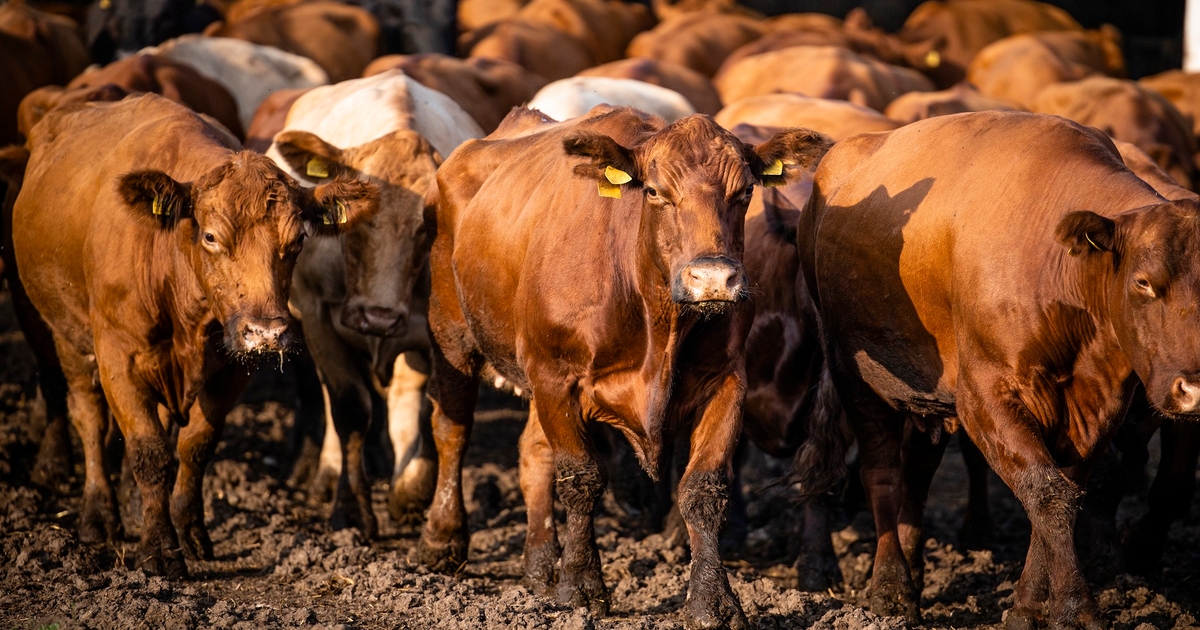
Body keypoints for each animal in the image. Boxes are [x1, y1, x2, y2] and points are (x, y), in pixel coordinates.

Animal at [8, 94, 378, 576]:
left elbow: (193, 447)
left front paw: (188, 531)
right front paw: (160, 549)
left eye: (297, 240)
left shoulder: (234, 368)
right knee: (87, 416)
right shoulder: (118, 358)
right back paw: (98, 513)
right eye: (211, 236)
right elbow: (148, 452)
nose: (267, 331)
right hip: (64, 335)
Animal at [265, 71, 483, 536]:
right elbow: (349, 408)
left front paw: (412, 490)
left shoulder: (432, 331)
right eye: (351, 215)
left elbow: (427, 407)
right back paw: (329, 473)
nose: (377, 317)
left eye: (426, 226)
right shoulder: (317, 317)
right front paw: (350, 507)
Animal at [422, 105, 829, 627]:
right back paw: (442, 539)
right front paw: (580, 587)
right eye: (654, 191)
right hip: (451, 333)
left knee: (533, 453)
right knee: (452, 430)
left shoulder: (726, 383)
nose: (713, 278)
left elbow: (703, 490)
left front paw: (712, 601)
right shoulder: (556, 377)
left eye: (744, 193)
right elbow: (581, 479)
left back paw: (539, 570)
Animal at [796, 110, 1200, 626]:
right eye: (1143, 282)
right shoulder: (985, 398)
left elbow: (1059, 497)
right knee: (881, 473)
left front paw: (1027, 607)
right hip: (856, 377)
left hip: (929, 398)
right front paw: (1075, 609)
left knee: (917, 473)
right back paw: (891, 587)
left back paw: (914, 571)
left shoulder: (1096, 408)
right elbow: (1046, 494)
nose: (1194, 388)